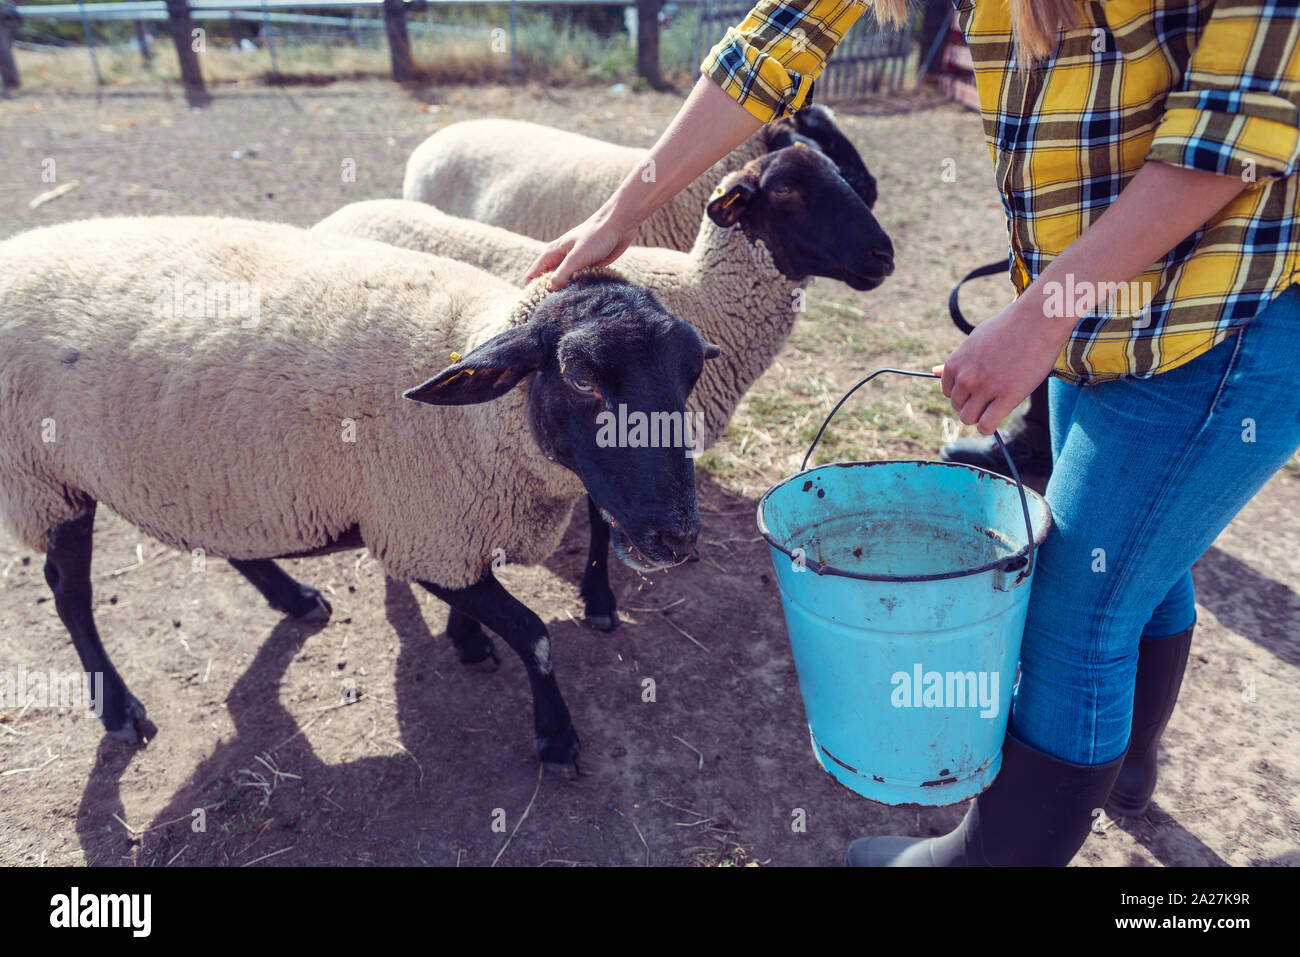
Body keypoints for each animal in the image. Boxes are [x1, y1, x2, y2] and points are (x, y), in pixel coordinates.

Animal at [0, 216, 719, 764]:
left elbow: (492, 607)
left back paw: (293, 598)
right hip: (43, 479)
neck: (485, 421)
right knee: (70, 594)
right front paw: (556, 736)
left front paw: (468, 639)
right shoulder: (420, 534)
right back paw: (118, 709)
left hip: (214, 472)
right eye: (580, 378)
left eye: (689, 376)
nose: (678, 537)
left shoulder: (448, 533)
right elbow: (535, 635)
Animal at [318, 144, 894, 630]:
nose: (883, 255)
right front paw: (597, 598)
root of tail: (348, 211)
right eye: (785, 190)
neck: (703, 288)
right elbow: (600, 521)